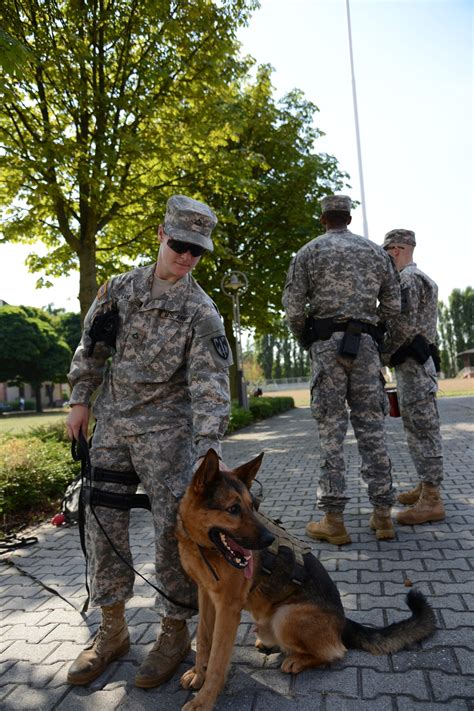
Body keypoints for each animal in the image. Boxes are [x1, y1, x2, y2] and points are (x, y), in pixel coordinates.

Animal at [178, 454, 436, 708]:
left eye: (253, 506)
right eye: (232, 509)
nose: (269, 539)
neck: (204, 548)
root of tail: (343, 621)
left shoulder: (228, 609)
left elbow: (218, 659)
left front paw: (204, 700)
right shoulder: (206, 595)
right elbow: (204, 640)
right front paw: (199, 673)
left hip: (285, 615)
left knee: (336, 652)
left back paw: (298, 660)